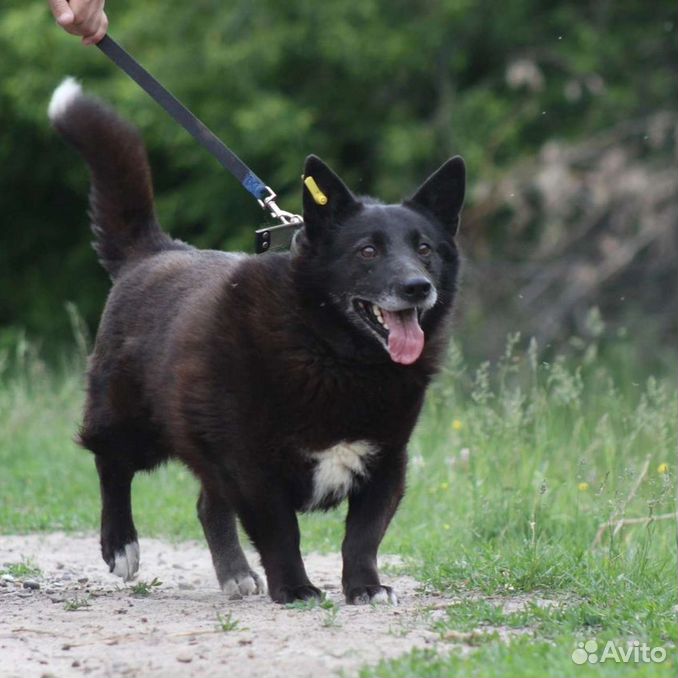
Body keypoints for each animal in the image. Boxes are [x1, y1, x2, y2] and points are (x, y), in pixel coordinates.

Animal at [49, 75, 468, 604]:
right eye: (368, 251)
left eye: (425, 249)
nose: (418, 287)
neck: (333, 353)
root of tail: (153, 251)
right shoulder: (252, 466)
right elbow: (280, 531)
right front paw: (296, 588)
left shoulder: (386, 462)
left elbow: (363, 535)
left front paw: (366, 588)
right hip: (133, 422)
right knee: (111, 463)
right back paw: (121, 545)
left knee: (207, 503)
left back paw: (234, 574)